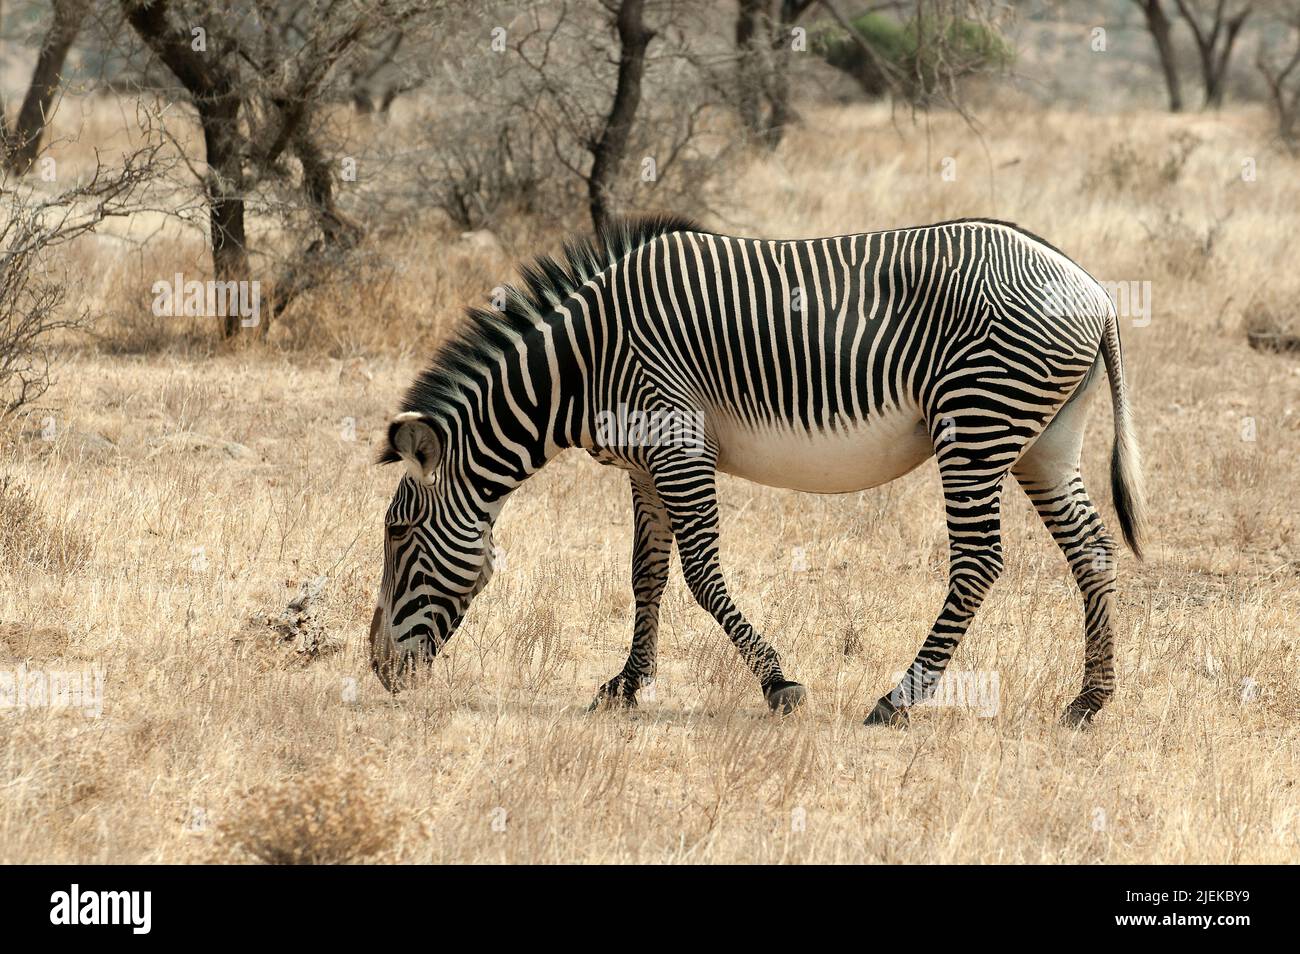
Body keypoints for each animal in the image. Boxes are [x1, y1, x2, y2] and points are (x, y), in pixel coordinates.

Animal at [370, 215, 1146, 727]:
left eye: (397, 535)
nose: (378, 669)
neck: (581, 366)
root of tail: (1094, 290)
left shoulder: (676, 439)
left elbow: (702, 574)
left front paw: (778, 684)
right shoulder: (645, 462)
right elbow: (645, 573)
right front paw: (625, 684)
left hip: (977, 421)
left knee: (980, 560)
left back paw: (898, 699)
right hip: (1045, 439)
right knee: (1092, 550)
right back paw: (1089, 700)